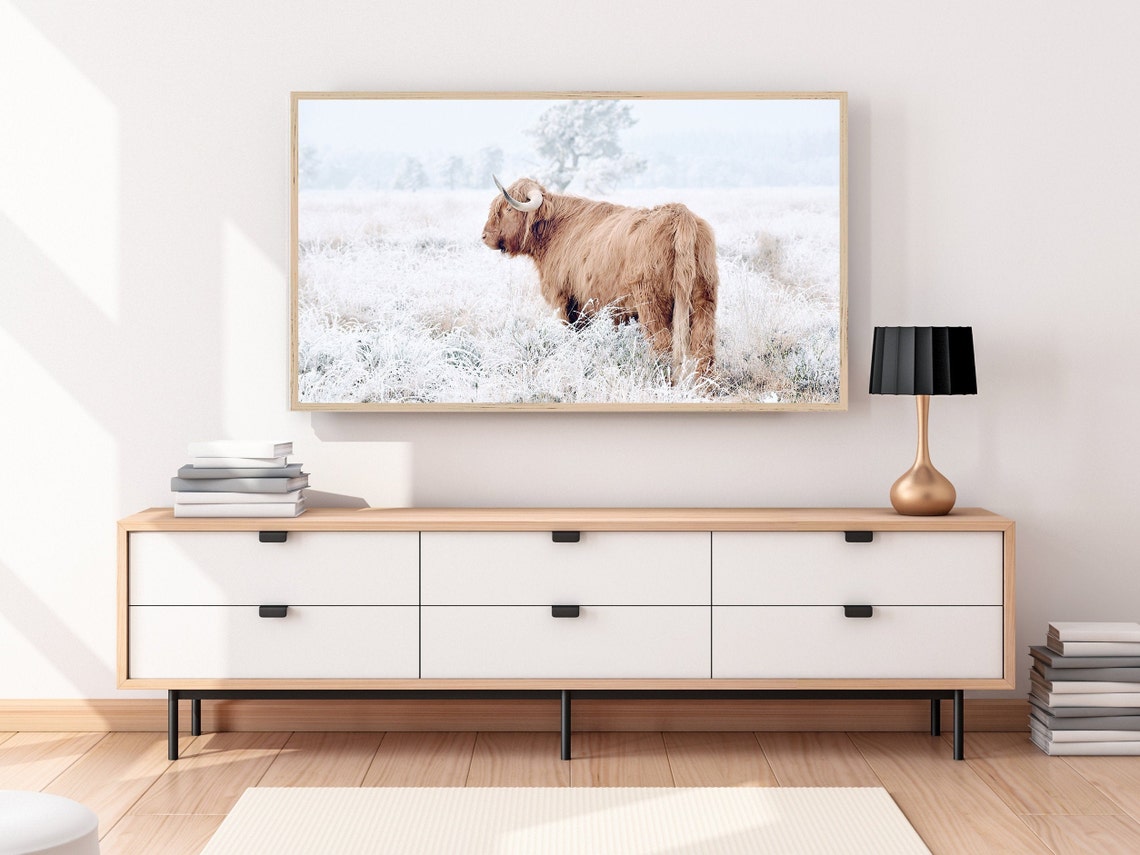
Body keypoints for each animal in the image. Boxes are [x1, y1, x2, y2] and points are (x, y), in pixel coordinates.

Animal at [481, 176, 718, 381]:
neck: (555, 232)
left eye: (508, 209)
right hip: (704, 299)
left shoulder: (566, 300)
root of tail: (678, 214)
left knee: (662, 345)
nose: (484, 236)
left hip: (652, 304)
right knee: (704, 347)